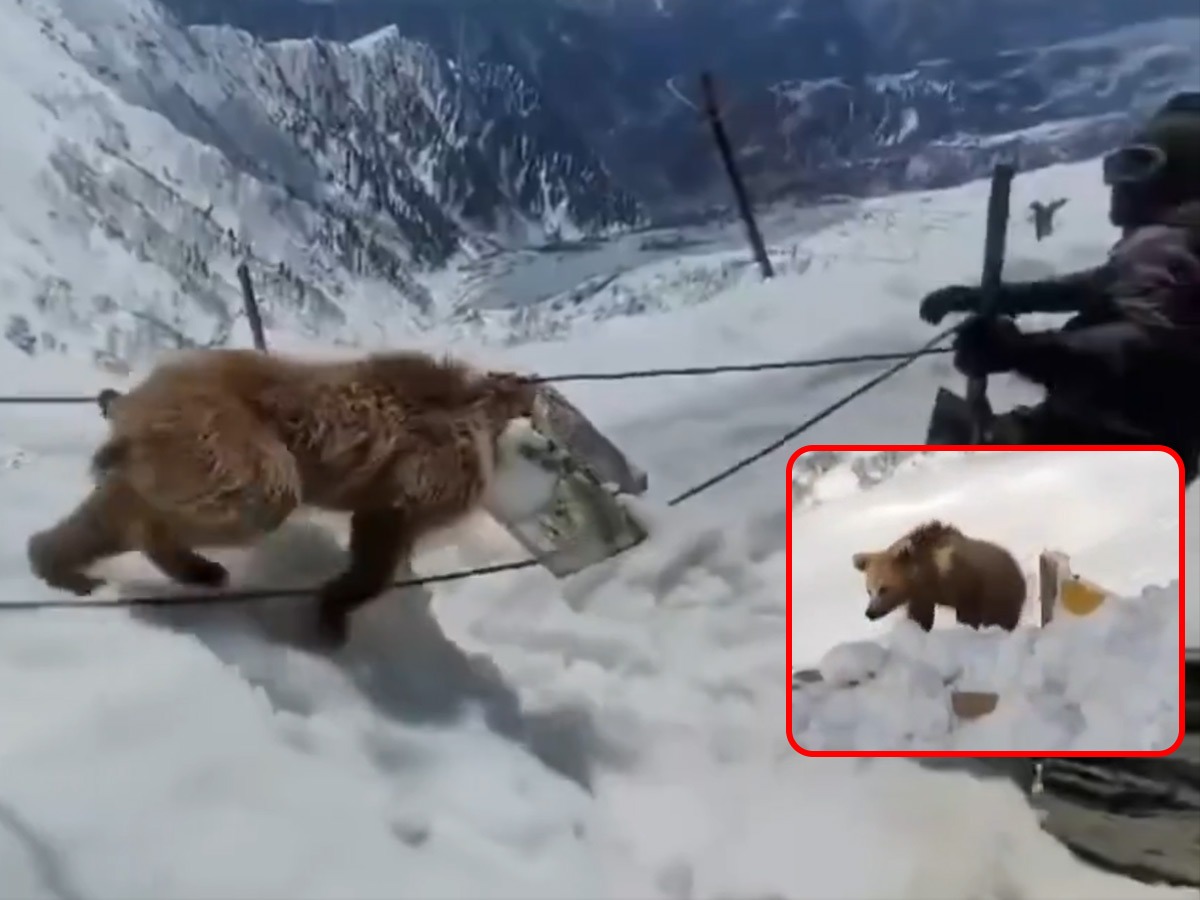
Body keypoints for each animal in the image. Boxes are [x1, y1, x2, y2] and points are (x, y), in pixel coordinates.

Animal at [26, 347, 541, 648]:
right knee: (260, 498)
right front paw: (333, 613)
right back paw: (191, 564)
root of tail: (138, 398)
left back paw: (61, 565)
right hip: (226, 433)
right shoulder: (430, 470)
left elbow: (378, 534)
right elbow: (381, 541)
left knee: (110, 507)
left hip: (176, 448)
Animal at [850, 519, 1027, 632]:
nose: (870, 613)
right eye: (869, 590)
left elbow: (968, 613)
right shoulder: (922, 595)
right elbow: (920, 615)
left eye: (884, 588)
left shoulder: (966, 584)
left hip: (1002, 593)